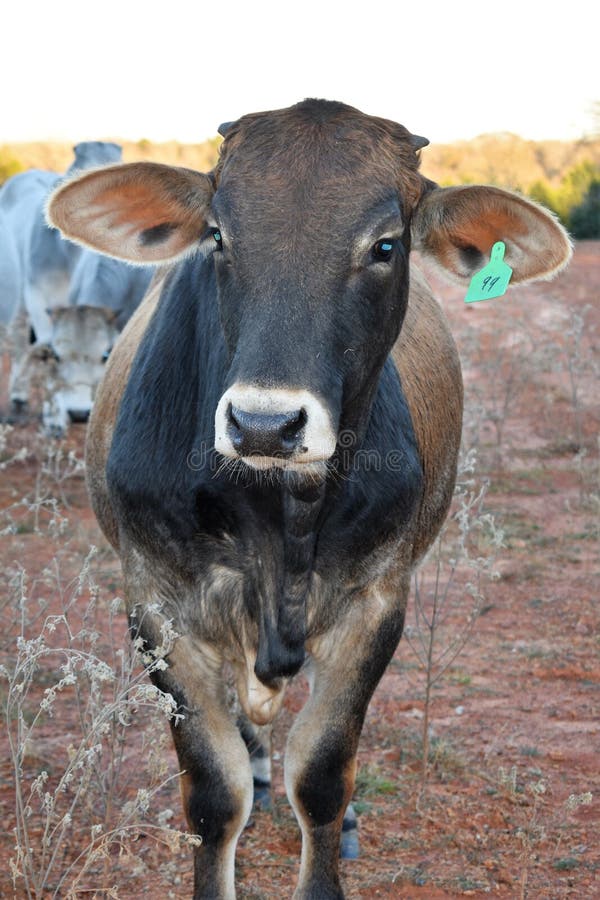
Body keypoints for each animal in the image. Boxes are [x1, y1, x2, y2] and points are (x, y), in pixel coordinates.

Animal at [47, 100, 571, 899]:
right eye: (217, 236)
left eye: (385, 245)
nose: (265, 423)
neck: (279, 518)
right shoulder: (155, 605)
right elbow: (214, 793)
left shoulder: (377, 601)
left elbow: (323, 774)